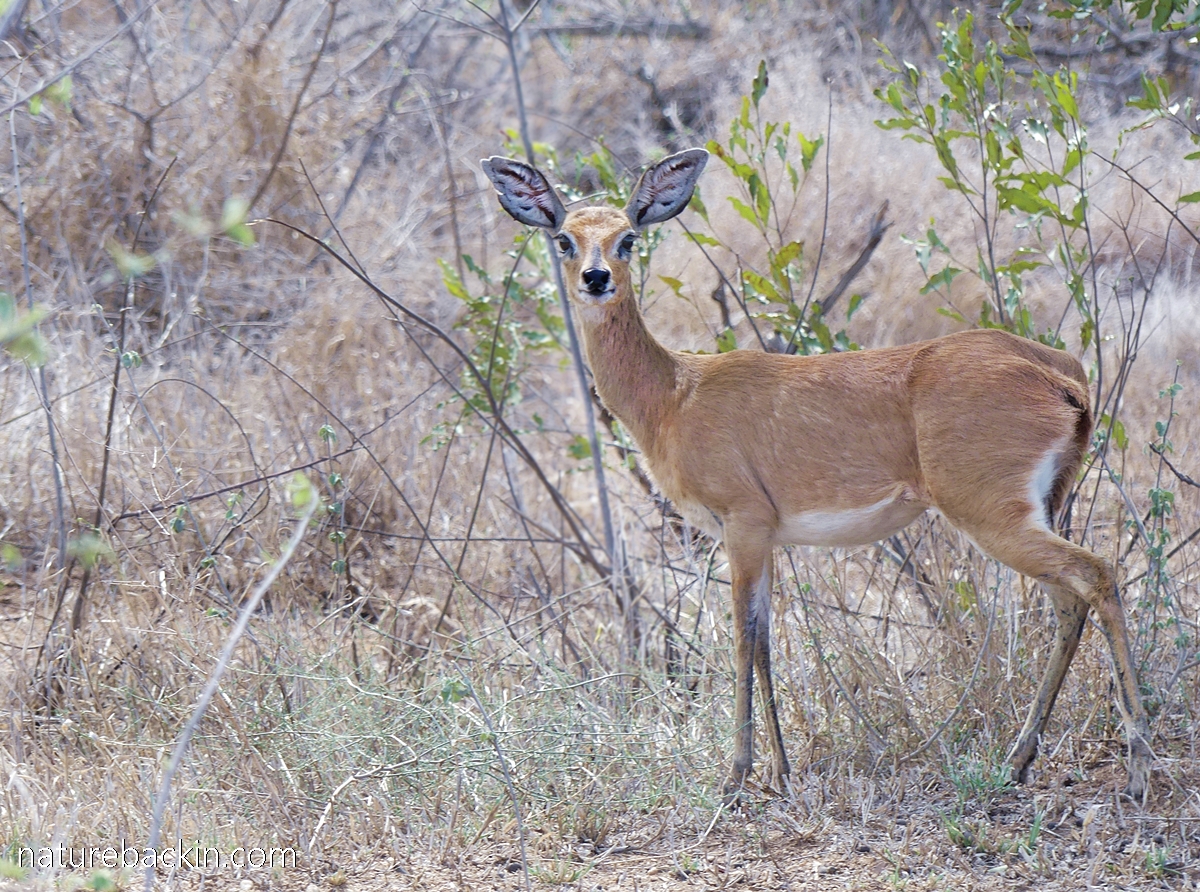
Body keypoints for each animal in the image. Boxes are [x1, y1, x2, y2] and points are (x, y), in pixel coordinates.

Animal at [481, 148, 1152, 801]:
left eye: (626, 239)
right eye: (564, 239)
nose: (596, 279)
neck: (674, 394)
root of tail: (1060, 373)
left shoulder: (743, 525)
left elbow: (743, 638)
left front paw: (737, 777)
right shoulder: (766, 538)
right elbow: (765, 640)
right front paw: (781, 771)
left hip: (992, 516)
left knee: (1098, 575)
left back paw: (1138, 768)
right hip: (1036, 510)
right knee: (1069, 601)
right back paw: (1018, 761)